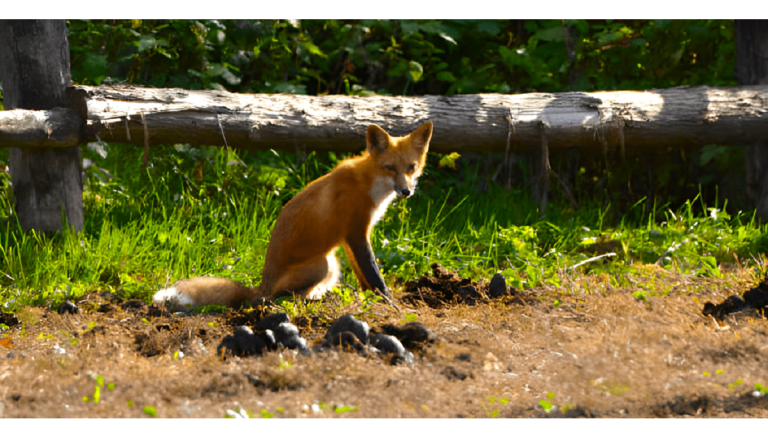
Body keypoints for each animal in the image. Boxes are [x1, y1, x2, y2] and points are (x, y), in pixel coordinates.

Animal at [153, 121, 433, 309]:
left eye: (411, 167)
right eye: (389, 168)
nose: (406, 192)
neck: (371, 184)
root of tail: (260, 285)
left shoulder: (353, 237)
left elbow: (363, 274)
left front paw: (368, 297)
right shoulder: (355, 231)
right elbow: (374, 271)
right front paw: (387, 300)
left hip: (332, 263)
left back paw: (317, 296)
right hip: (325, 263)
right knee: (272, 299)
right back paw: (300, 300)